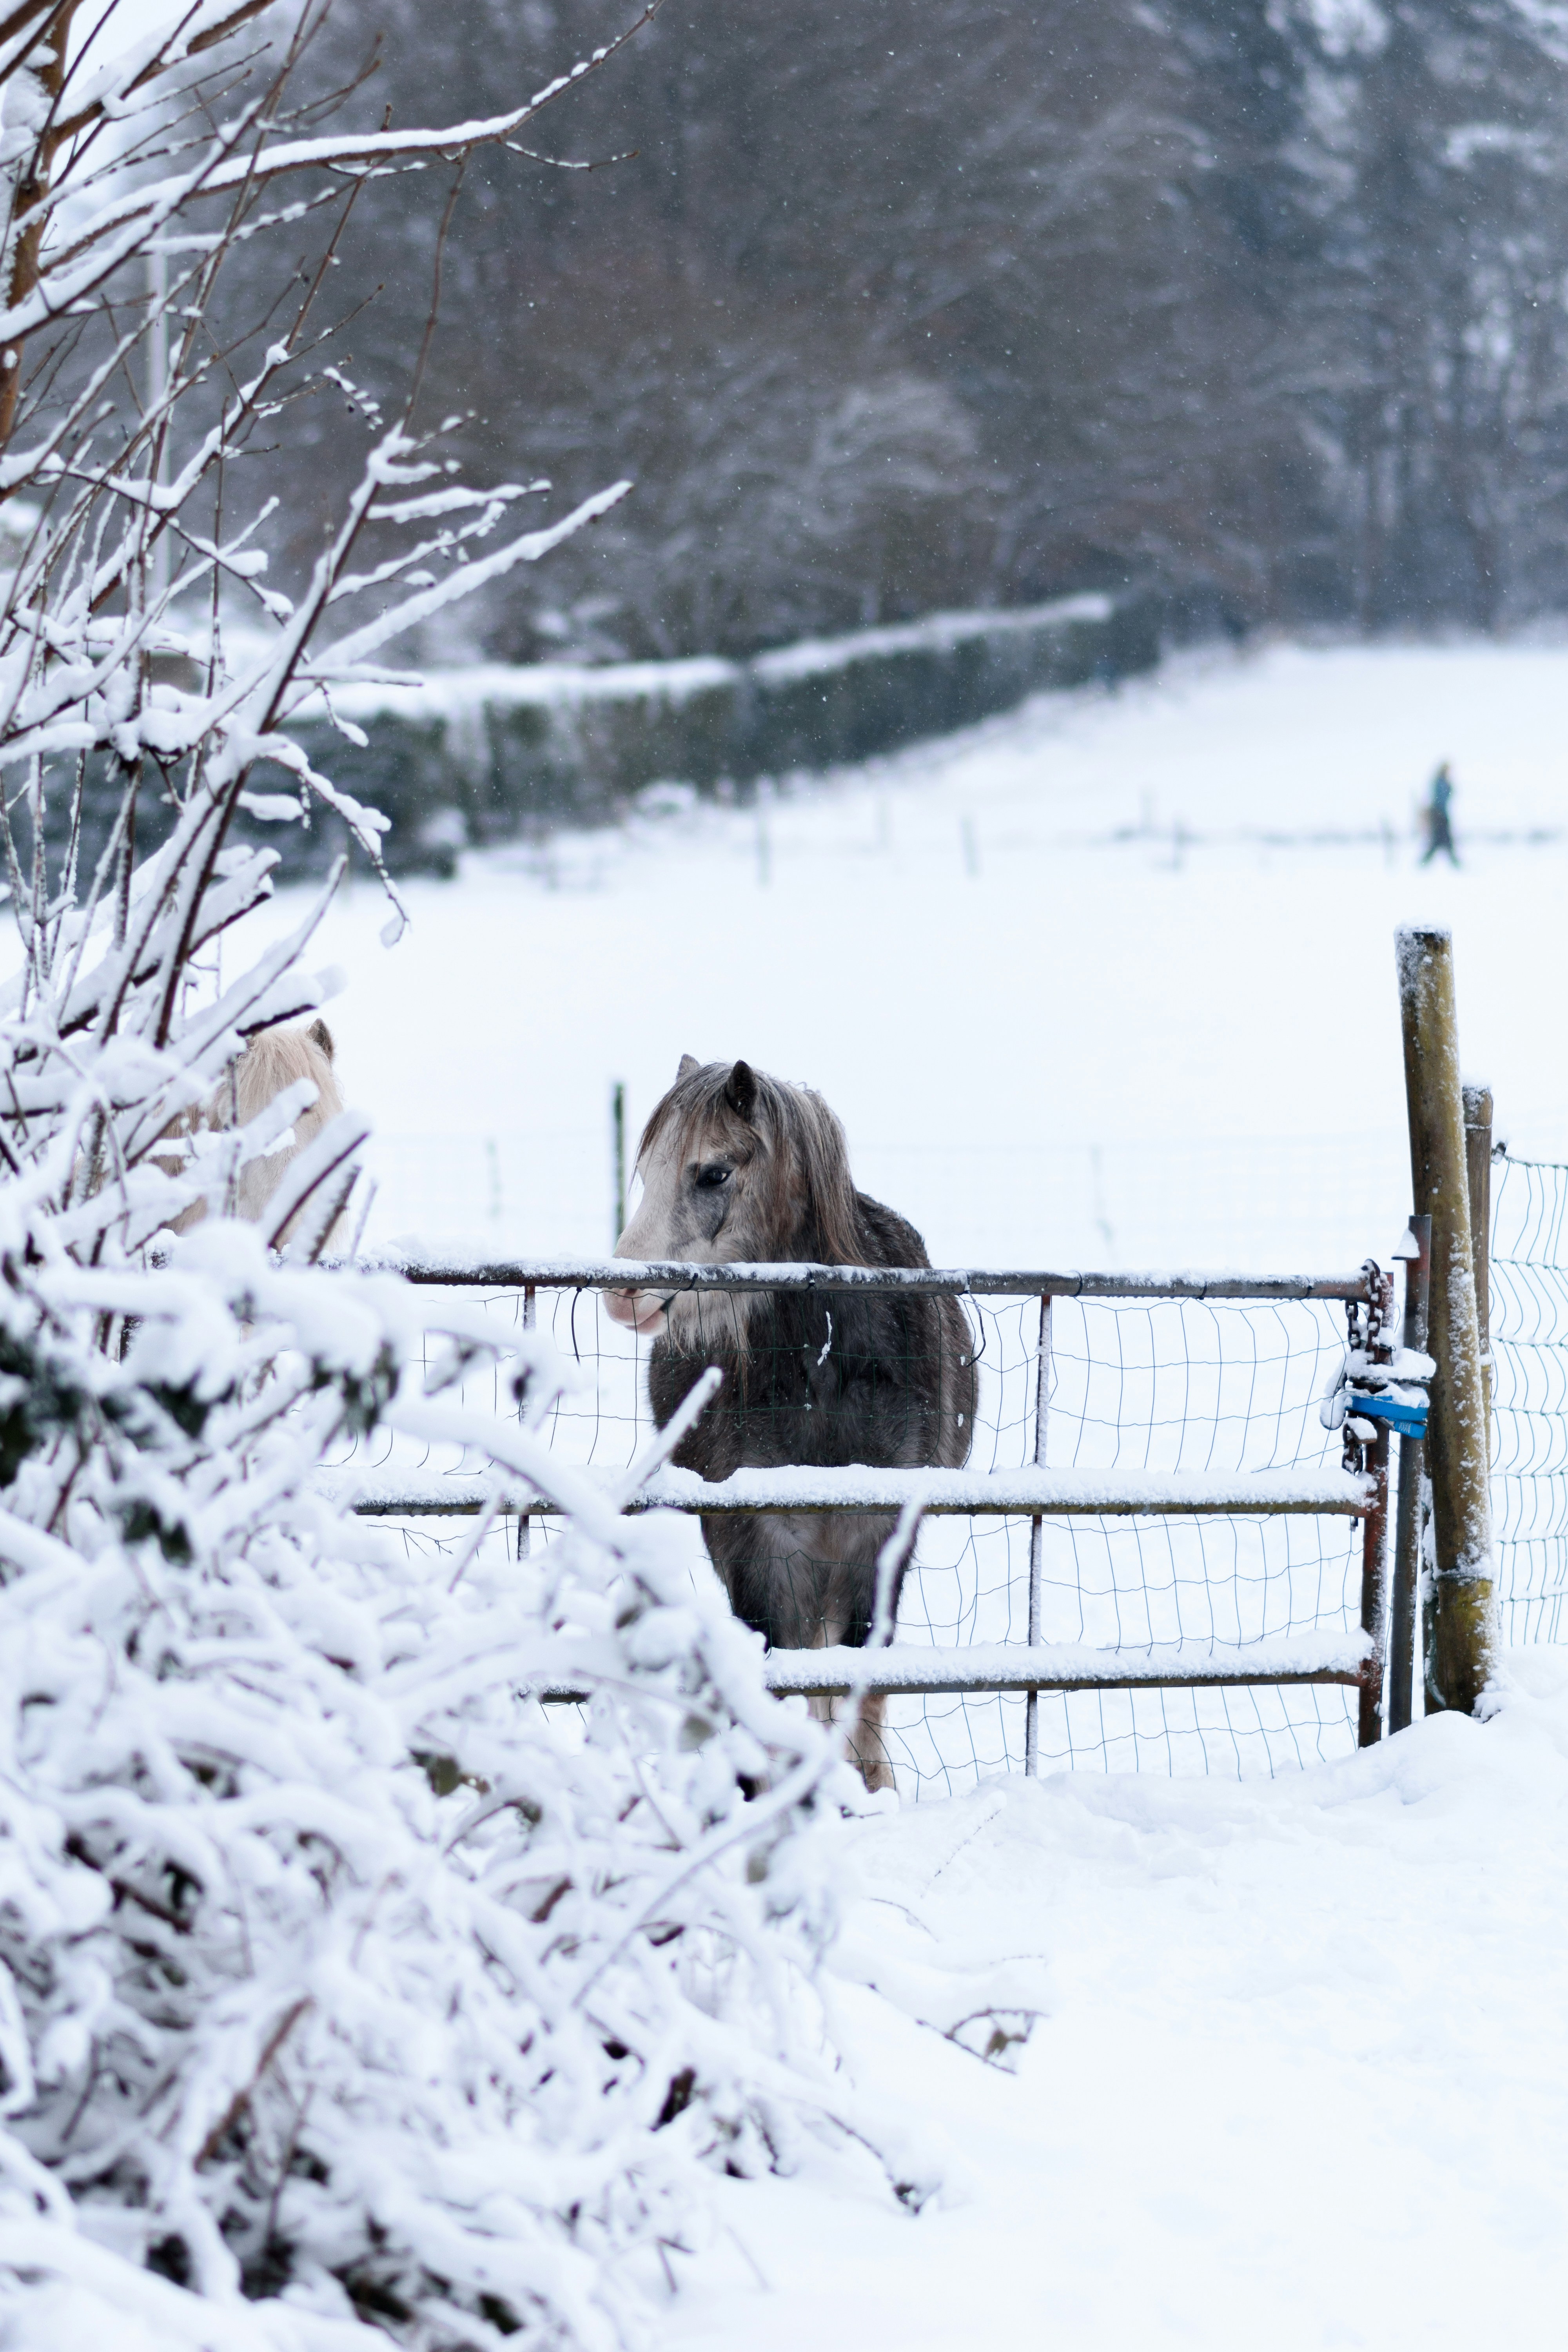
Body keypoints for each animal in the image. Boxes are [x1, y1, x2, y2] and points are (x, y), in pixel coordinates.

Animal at [608, 1054, 976, 1791]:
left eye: (713, 1173)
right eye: (648, 1174)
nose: (622, 1293)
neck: (827, 1365)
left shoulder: (878, 1535)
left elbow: (860, 1684)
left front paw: (868, 1789)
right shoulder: (759, 1542)